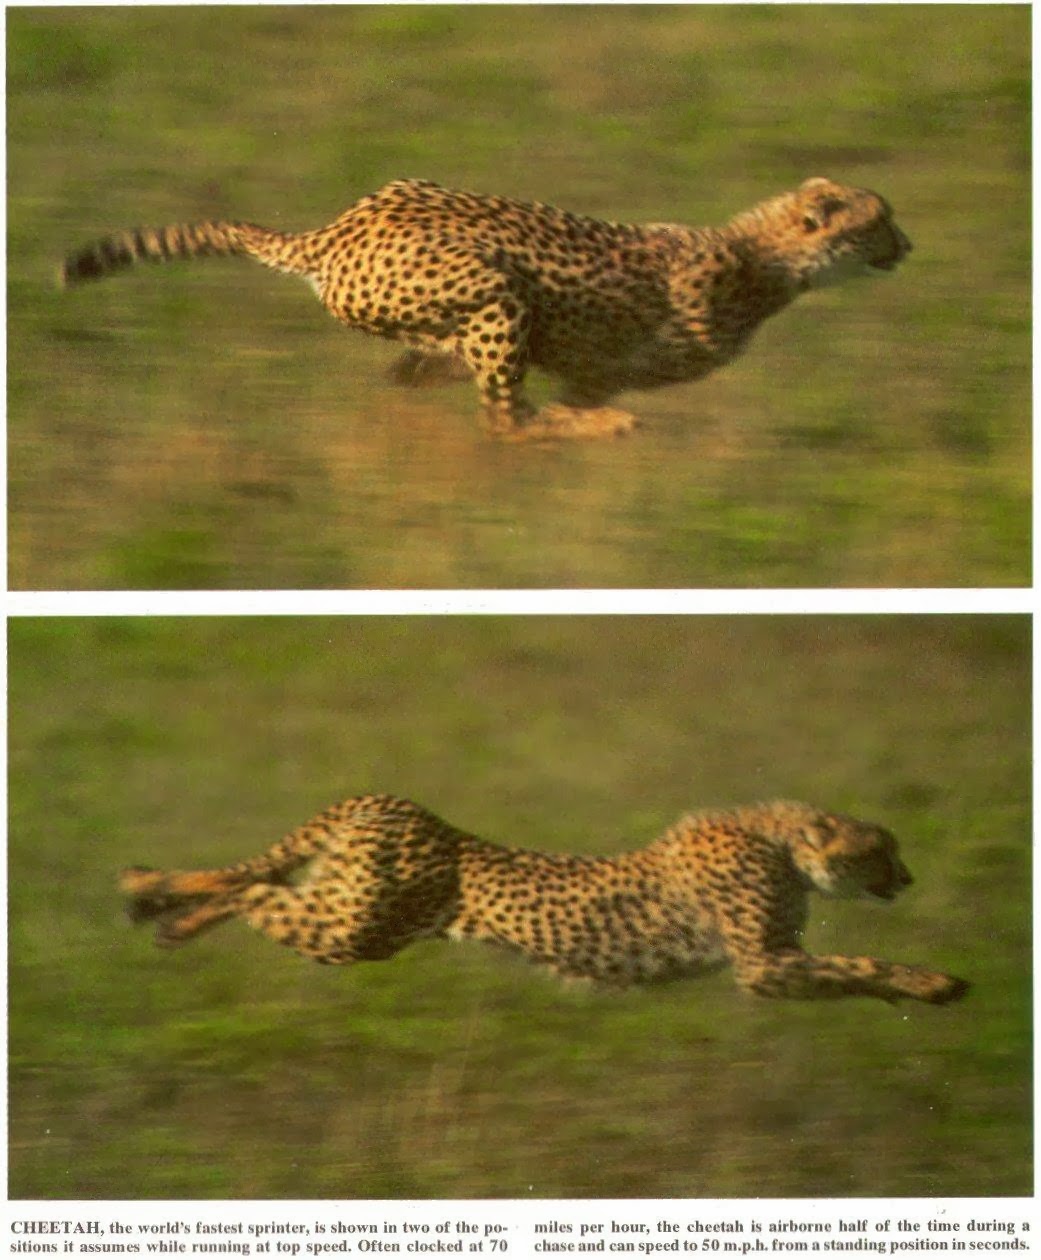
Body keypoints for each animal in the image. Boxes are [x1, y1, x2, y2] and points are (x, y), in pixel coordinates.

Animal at [62, 176, 911, 440]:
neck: (762, 259)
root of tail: (337, 228)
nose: (907, 244)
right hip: (495, 290)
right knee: (505, 420)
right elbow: (555, 405)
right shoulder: (594, 364)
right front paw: (590, 424)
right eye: (877, 219)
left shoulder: (586, 367)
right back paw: (589, 429)